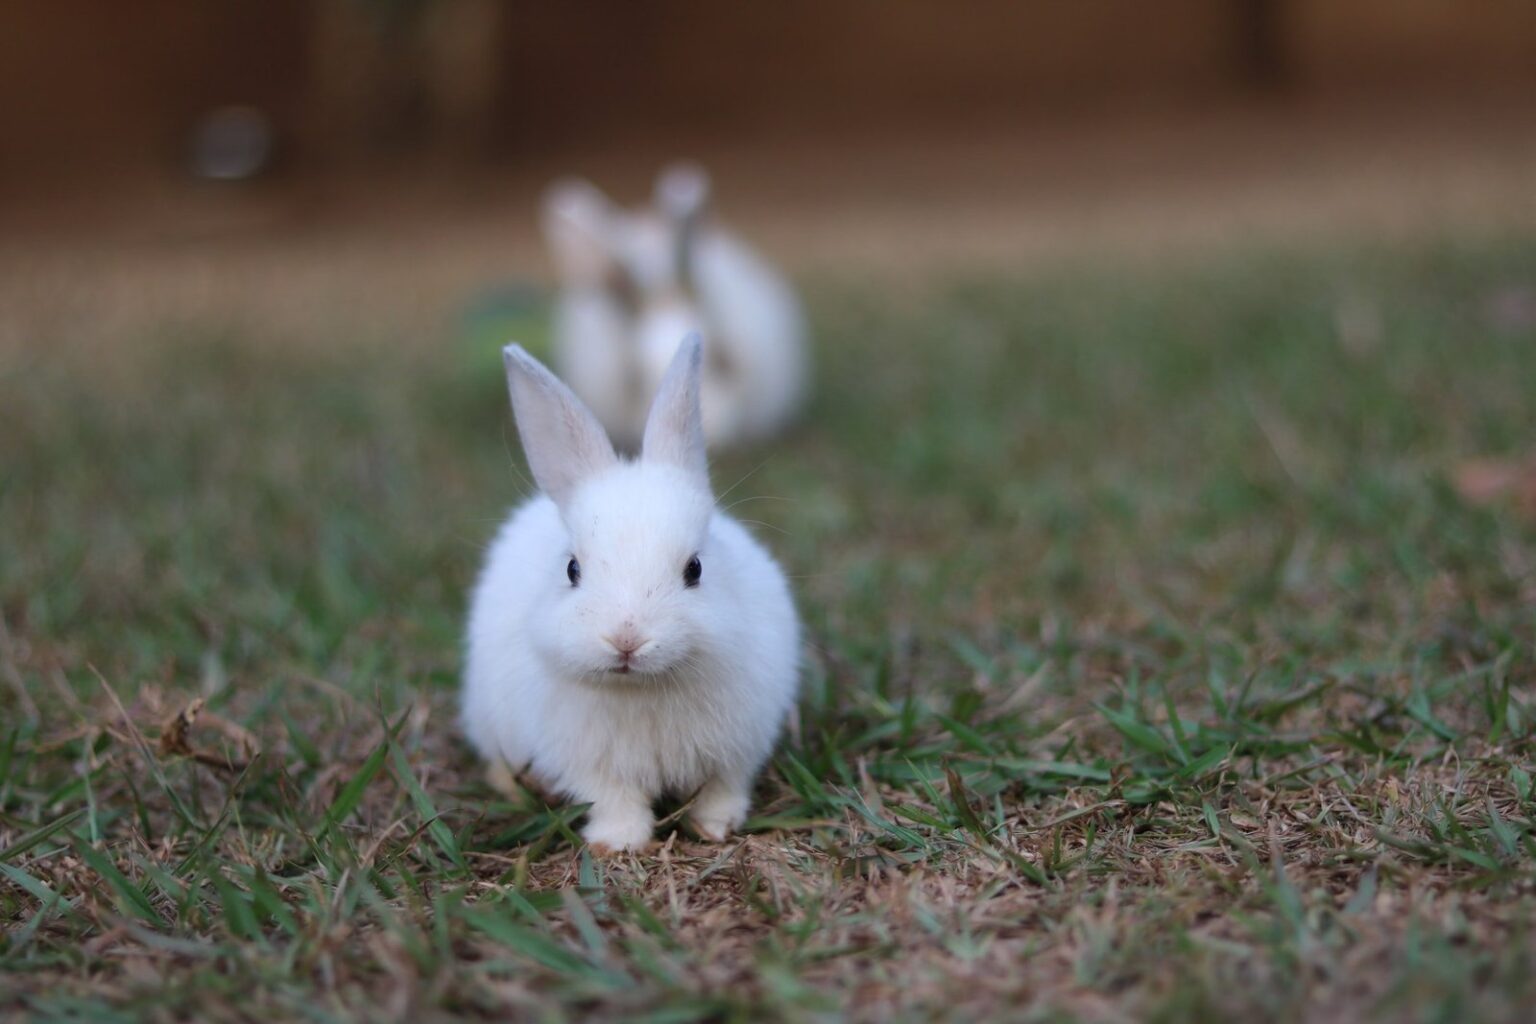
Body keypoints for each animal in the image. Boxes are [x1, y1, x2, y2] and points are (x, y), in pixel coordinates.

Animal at [461, 333, 801, 853]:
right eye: (572, 569)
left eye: (695, 568)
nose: (626, 640)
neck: (643, 686)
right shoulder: (587, 765)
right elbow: (611, 799)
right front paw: (618, 843)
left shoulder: (737, 752)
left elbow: (723, 790)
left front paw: (715, 827)